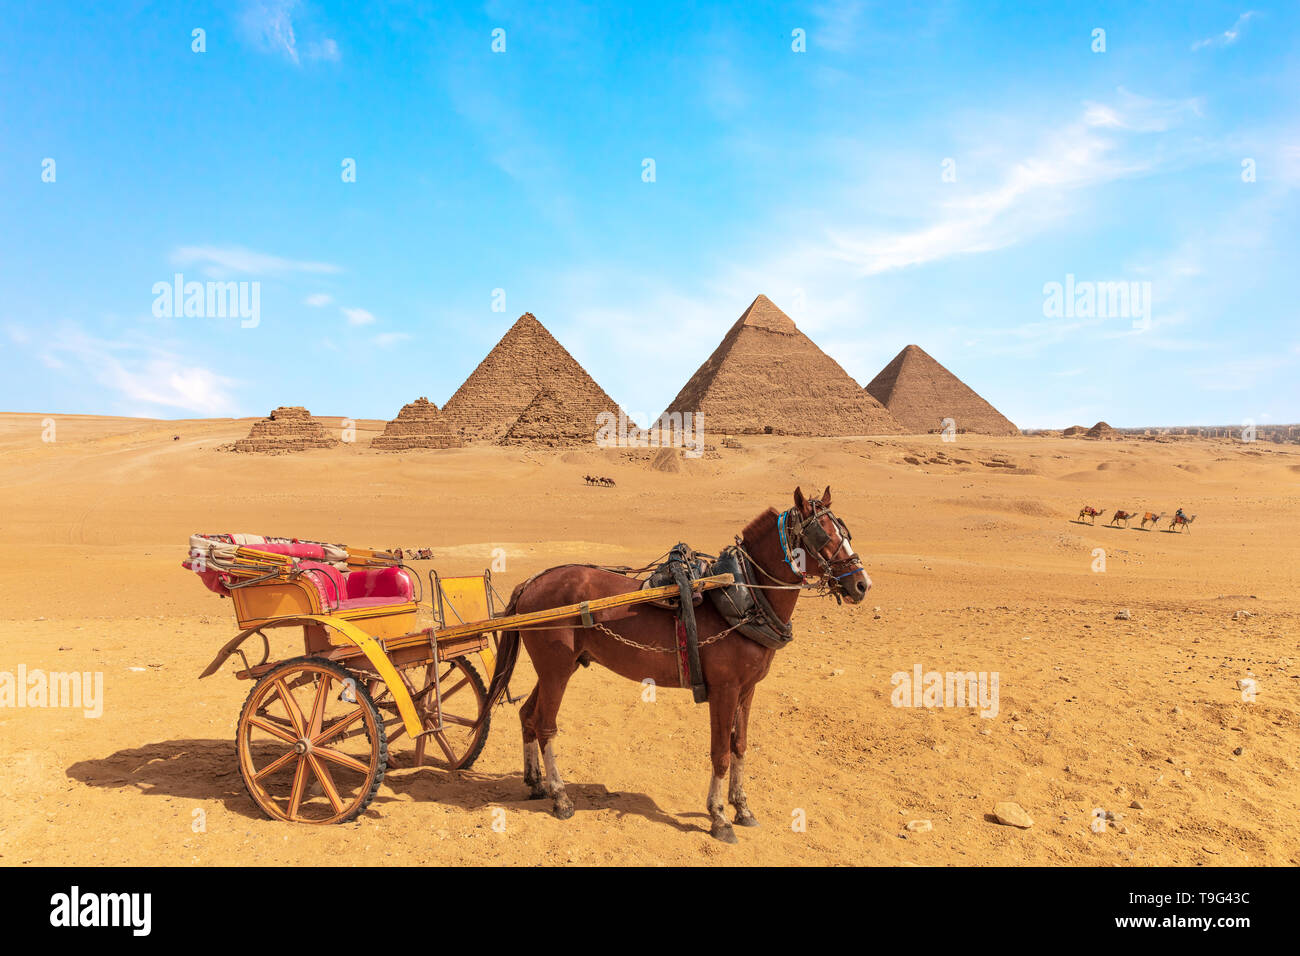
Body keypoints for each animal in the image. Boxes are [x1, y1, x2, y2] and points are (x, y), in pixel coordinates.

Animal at [480, 486, 869, 844]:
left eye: (846, 533)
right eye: (823, 535)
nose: (862, 585)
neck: (744, 595)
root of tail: (531, 582)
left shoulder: (747, 689)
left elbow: (740, 746)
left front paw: (742, 808)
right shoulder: (724, 689)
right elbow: (720, 752)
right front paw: (719, 817)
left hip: (558, 668)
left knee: (528, 715)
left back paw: (536, 784)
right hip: (556, 669)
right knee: (545, 725)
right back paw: (560, 798)